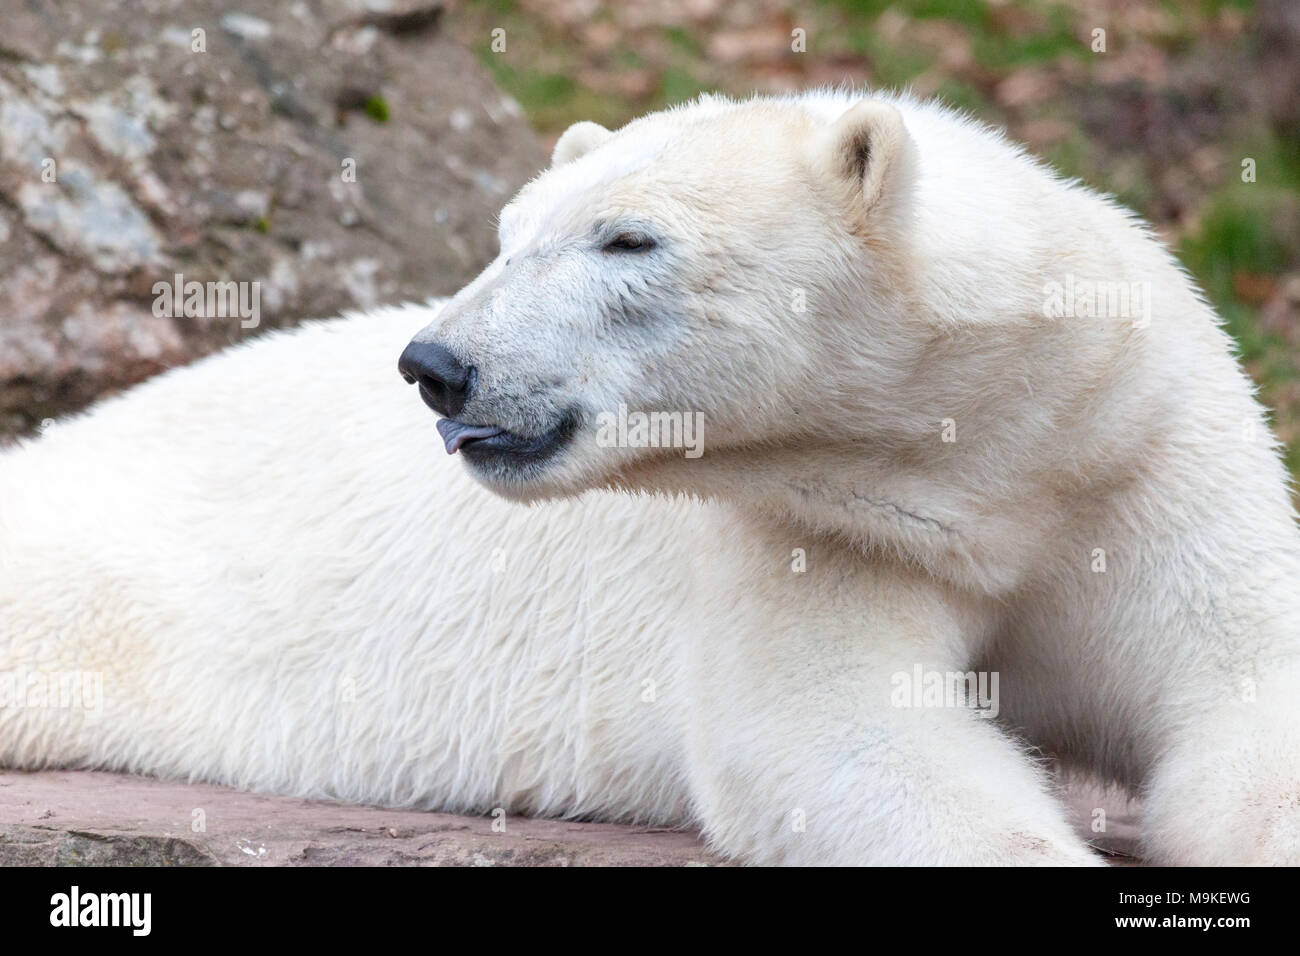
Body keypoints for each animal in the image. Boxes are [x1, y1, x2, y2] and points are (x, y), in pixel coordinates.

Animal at [2, 90, 1299, 866]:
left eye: (627, 239)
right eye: (509, 235)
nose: (438, 366)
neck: (996, 457)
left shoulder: (1140, 451)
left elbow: (1244, 685)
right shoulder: (815, 530)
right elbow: (833, 727)